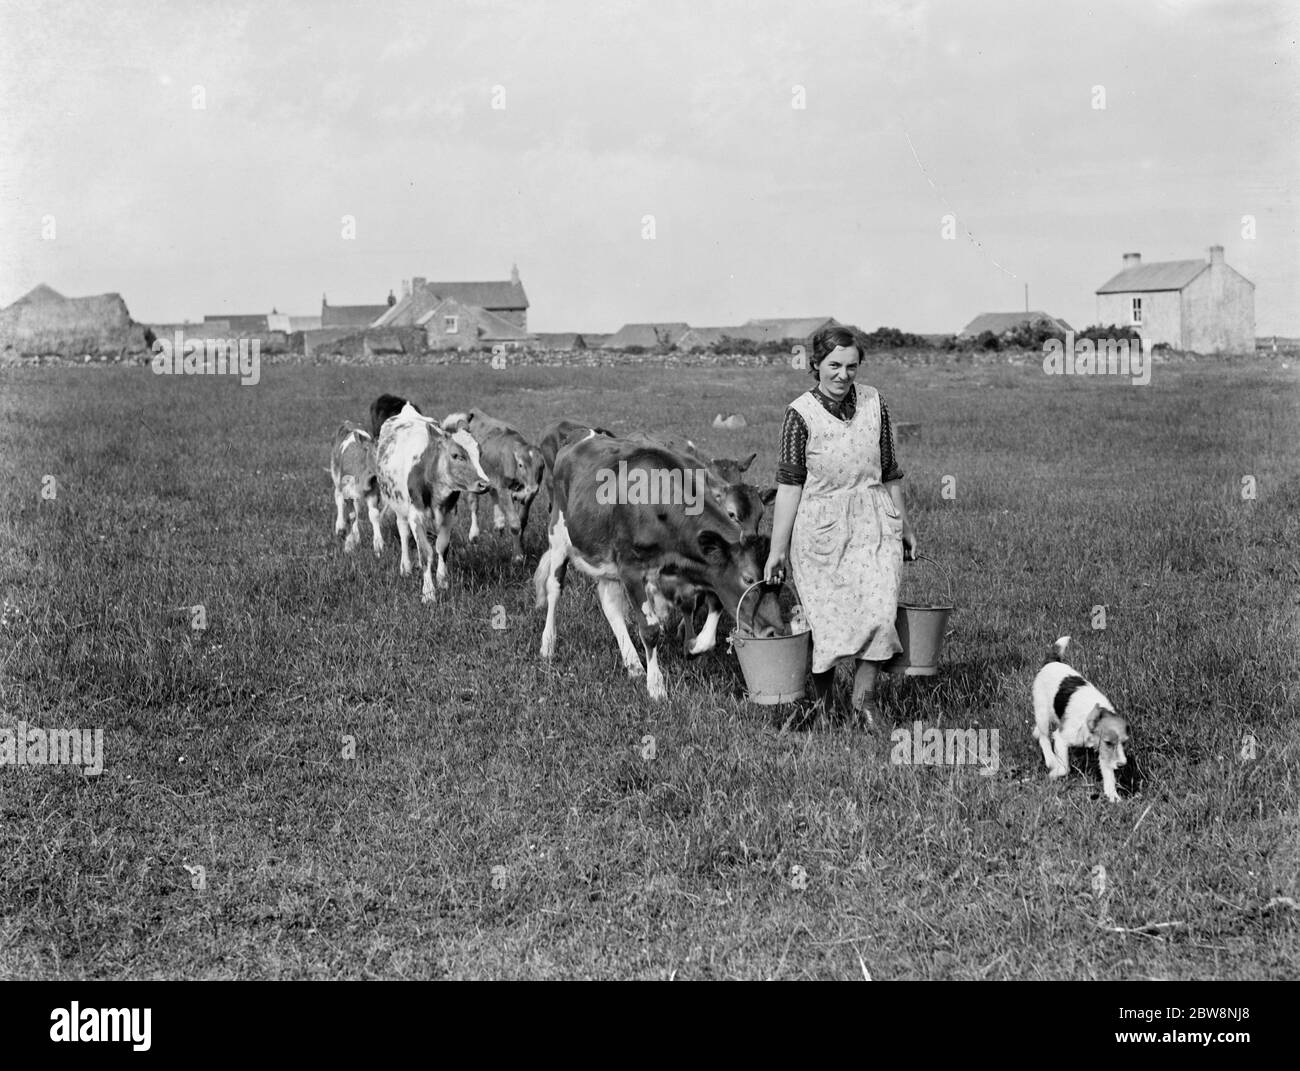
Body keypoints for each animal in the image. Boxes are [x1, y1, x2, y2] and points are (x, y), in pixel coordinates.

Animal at [329, 421, 384, 556]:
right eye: (375, 453)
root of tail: (348, 422)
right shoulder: (347, 491)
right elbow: (351, 516)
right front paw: (349, 545)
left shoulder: (373, 491)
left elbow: (374, 514)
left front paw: (378, 545)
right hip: (336, 475)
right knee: (338, 498)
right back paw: (340, 527)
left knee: (357, 507)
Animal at [376, 403, 490, 602]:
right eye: (456, 455)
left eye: (480, 453)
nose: (484, 484)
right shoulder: (415, 517)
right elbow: (425, 553)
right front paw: (428, 592)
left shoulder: (449, 514)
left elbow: (442, 547)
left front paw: (443, 582)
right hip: (398, 506)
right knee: (403, 533)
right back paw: (405, 567)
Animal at [441, 409, 546, 564]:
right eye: (521, 465)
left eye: (542, 466)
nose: (533, 487)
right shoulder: (504, 489)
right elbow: (515, 523)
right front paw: (518, 556)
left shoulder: (529, 495)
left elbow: (523, 521)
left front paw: (521, 547)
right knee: (474, 504)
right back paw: (474, 534)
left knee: (492, 493)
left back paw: (499, 523)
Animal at [533, 433, 784, 700]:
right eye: (748, 579)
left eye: (777, 580)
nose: (774, 631)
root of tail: (577, 441)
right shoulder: (631, 570)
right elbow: (650, 629)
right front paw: (656, 687)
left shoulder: (695, 573)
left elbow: (711, 607)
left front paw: (692, 645)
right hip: (559, 536)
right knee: (554, 589)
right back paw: (548, 644)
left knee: (610, 605)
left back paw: (633, 663)